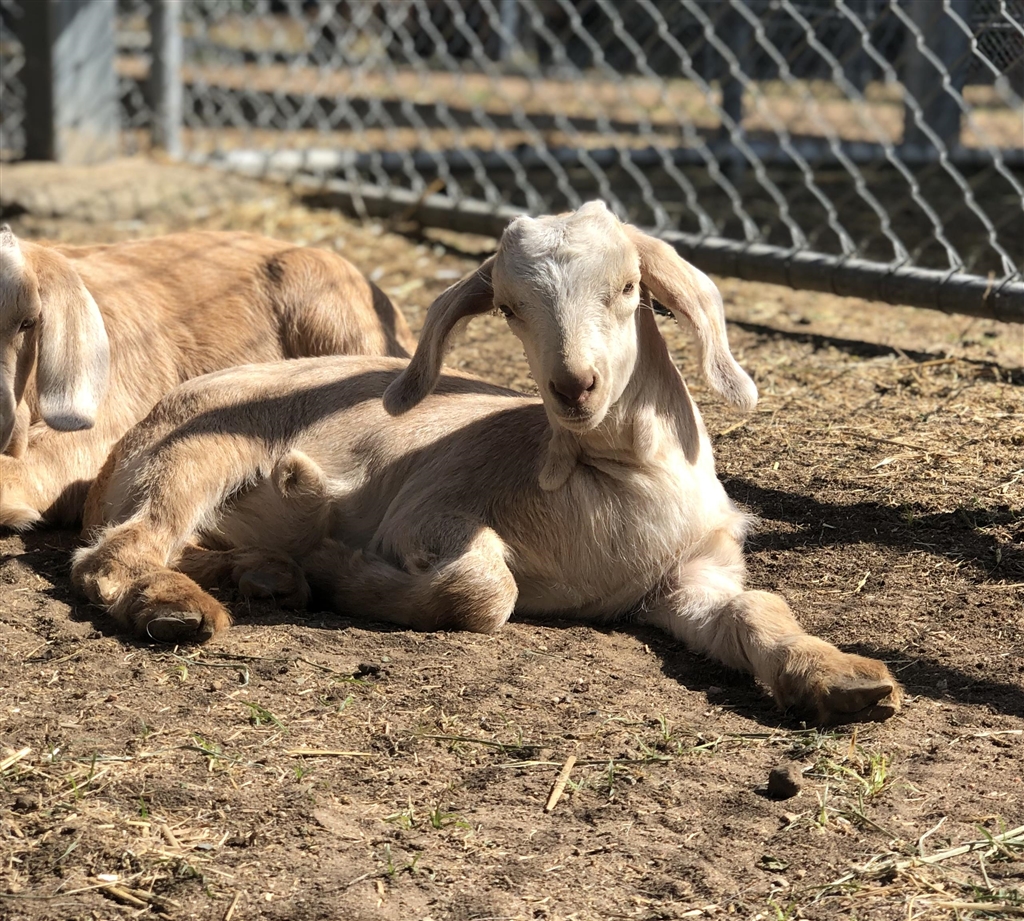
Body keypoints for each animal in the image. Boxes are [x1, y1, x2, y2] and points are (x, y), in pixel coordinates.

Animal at [72, 202, 901, 725]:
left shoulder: (686, 578)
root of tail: (118, 455)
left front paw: (844, 679)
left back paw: (265, 574)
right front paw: (344, 571)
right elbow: (483, 590)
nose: (575, 384)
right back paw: (181, 604)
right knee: (115, 552)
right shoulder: (428, 509)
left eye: (629, 286)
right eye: (508, 305)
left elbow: (759, 608)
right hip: (195, 454)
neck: (618, 479)